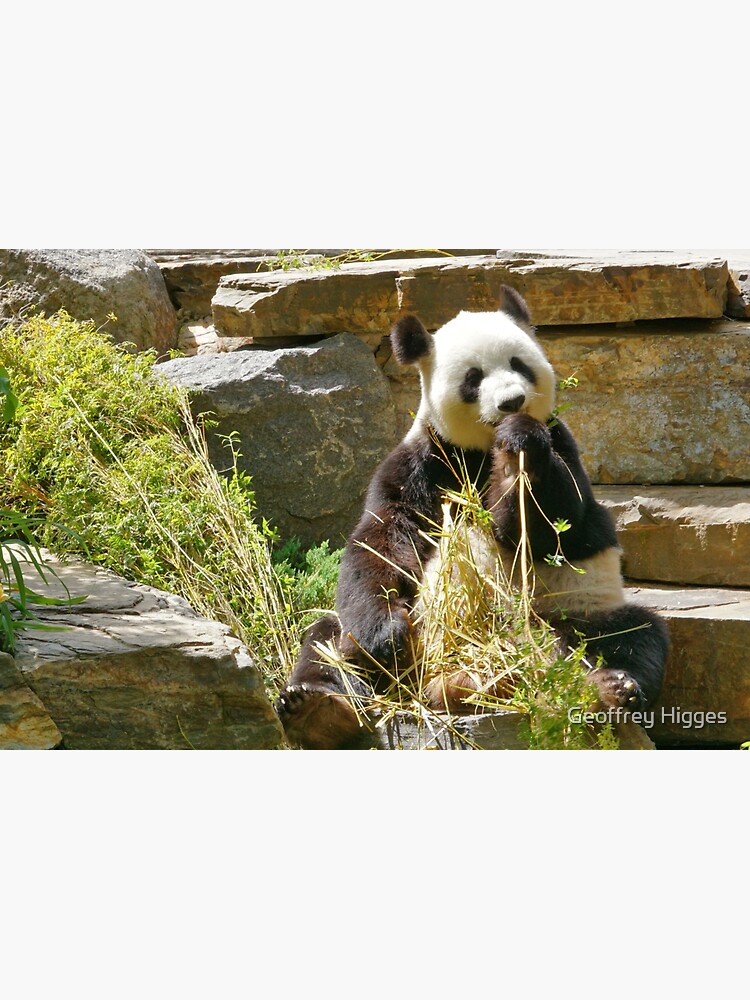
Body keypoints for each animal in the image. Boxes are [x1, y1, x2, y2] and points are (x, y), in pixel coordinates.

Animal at [275, 286, 669, 749]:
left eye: (519, 364)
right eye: (473, 377)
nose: (512, 402)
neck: (480, 450)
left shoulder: (562, 444)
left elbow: (559, 528)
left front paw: (519, 453)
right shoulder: (422, 461)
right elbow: (382, 540)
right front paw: (385, 634)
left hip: (576, 613)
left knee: (632, 637)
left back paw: (609, 688)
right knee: (328, 643)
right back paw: (316, 710)